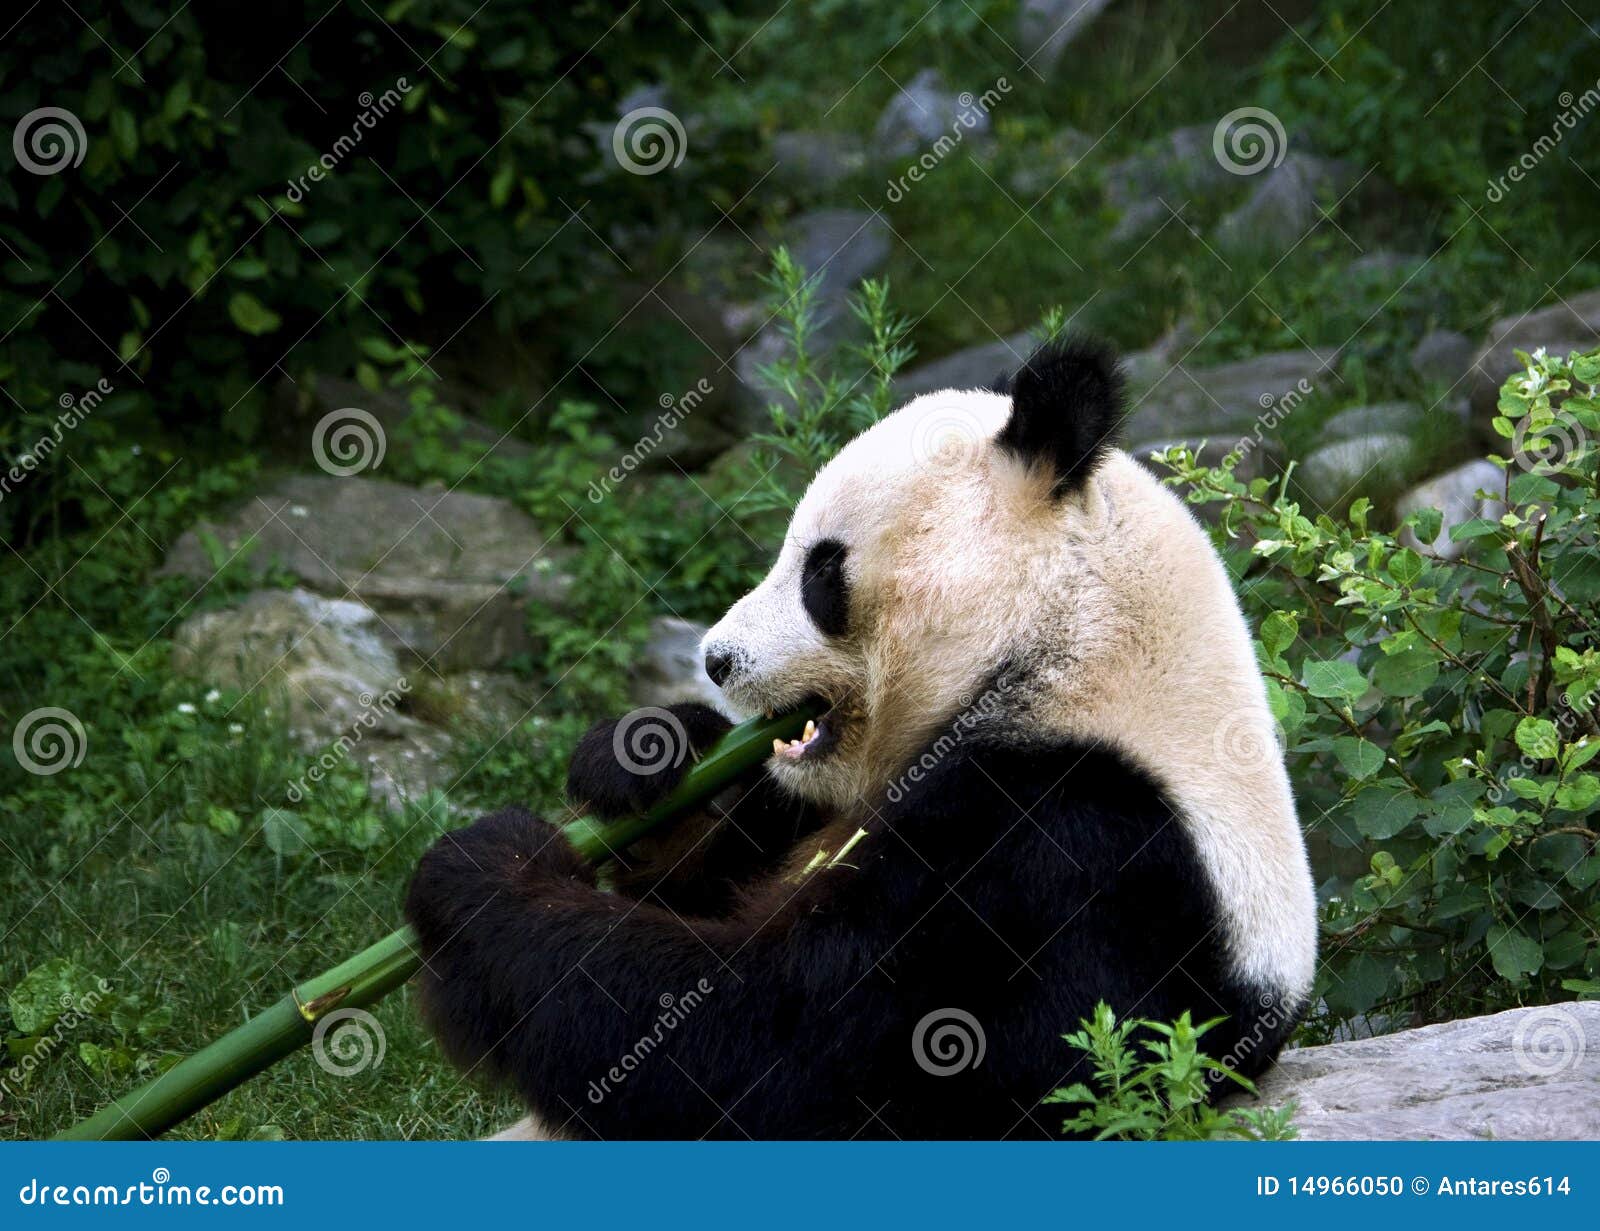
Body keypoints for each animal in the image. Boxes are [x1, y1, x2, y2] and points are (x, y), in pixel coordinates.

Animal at [404, 337, 1318, 1140]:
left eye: (821, 569)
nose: (717, 658)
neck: (1067, 642)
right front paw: (646, 761)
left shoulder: (1066, 848)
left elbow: (776, 1046)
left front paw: (484, 871)